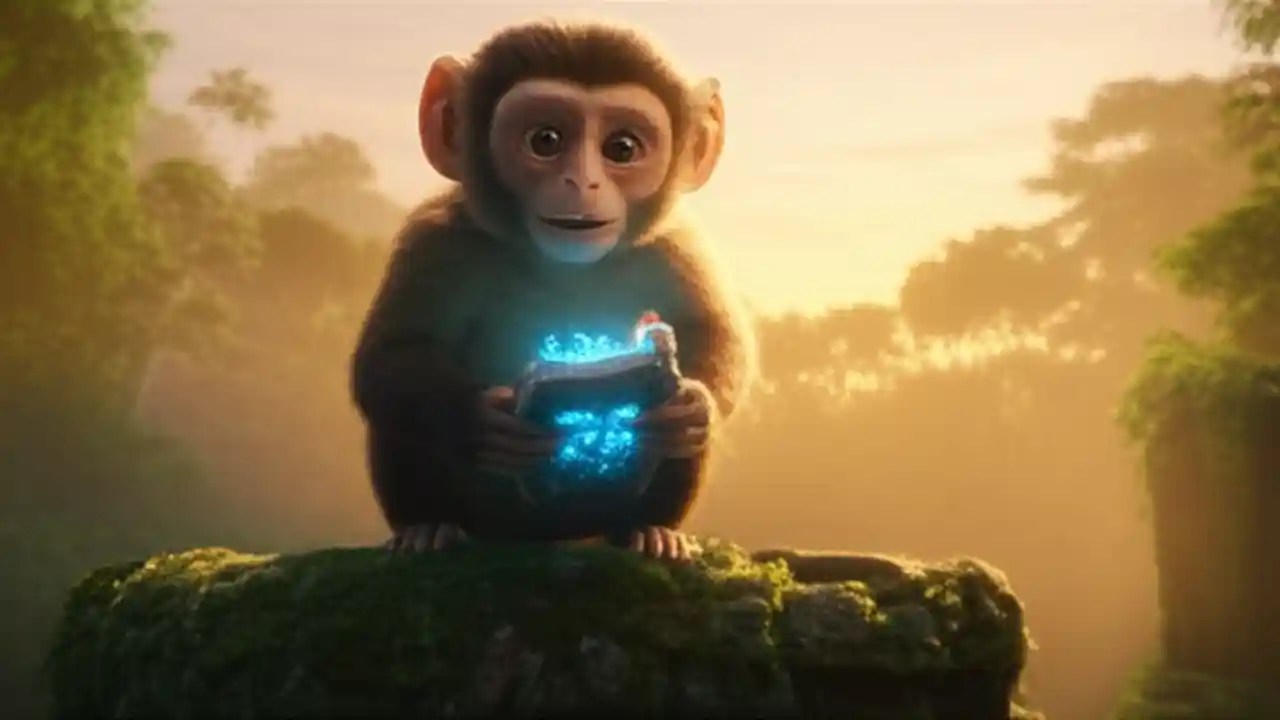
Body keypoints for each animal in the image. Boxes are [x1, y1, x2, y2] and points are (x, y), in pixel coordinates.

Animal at [350, 21, 755, 561]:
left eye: (622, 148)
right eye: (545, 140)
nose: (582, 182)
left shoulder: (676, 245)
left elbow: (711, 334)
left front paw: (692, 406)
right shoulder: (438, 239)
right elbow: (389, 357)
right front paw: (484, 420)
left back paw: (649, 528)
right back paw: (426, 525)